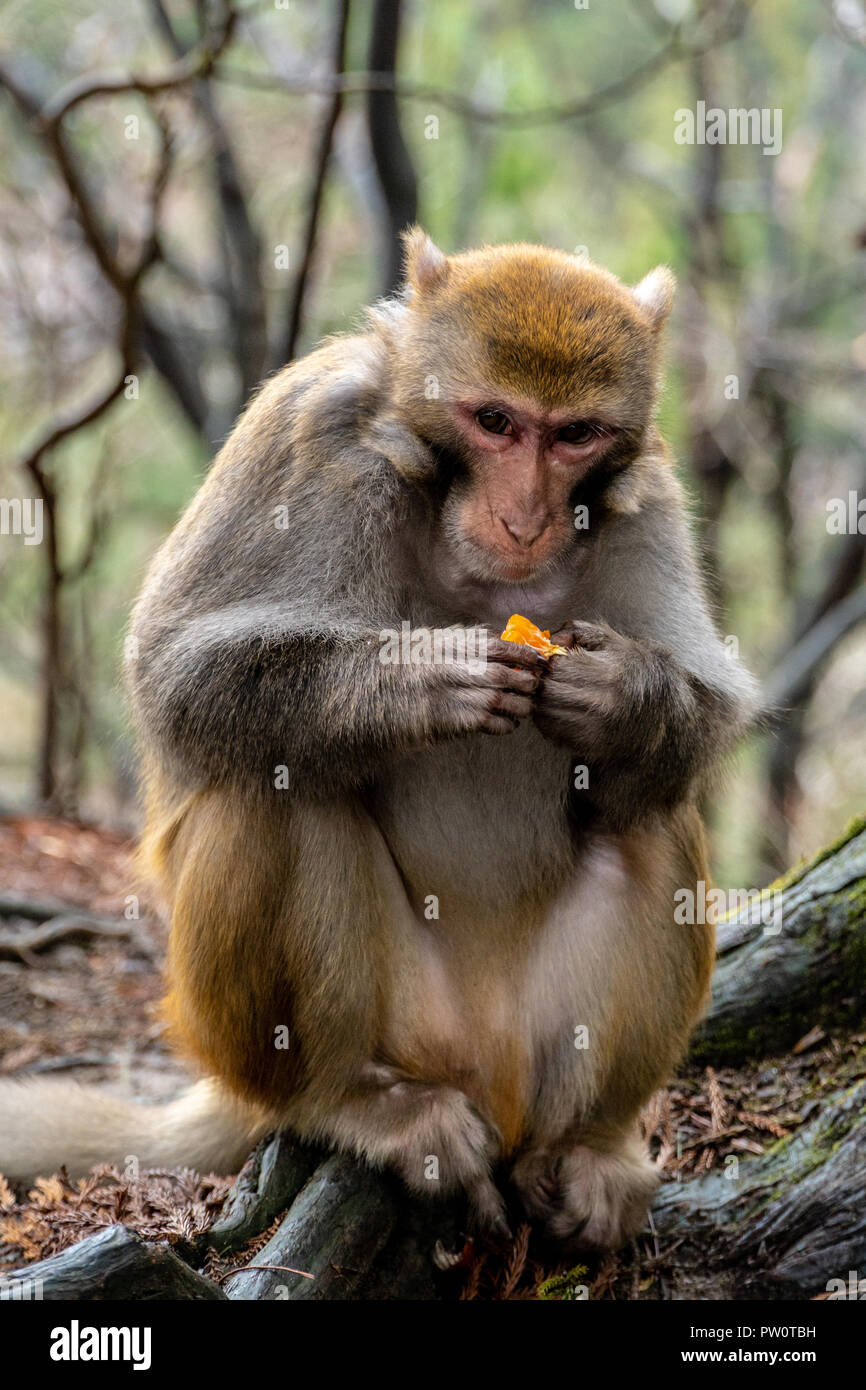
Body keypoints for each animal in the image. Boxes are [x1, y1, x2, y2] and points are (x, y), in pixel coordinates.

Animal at [0, 230, 756, 1249]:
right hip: (362, 1029)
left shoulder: (649, 493)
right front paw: (416, 681)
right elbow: (174, 673)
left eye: (574, 435)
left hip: (536, 1053)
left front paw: (620, 699)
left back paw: (590, 1147)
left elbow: (710, 708)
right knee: (278, 781)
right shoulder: (311, 428)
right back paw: (350, 1102)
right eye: (494, 421)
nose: (525, 517)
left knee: (651, 821)